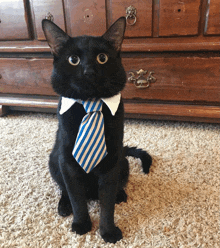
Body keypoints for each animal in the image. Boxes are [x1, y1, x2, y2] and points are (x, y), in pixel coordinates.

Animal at [42, 17, 152, 244]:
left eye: (102, 58)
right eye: (73, 59)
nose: (89, 71)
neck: (91, 104)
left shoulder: (111, 162)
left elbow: (106, 204)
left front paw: (108, 232)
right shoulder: (68, 161)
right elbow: (76, 198)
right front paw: (81, 224)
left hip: (122, 161)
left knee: (118, 185)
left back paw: (120, 195)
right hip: (55, 160)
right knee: (64, 189)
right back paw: (64, 205)